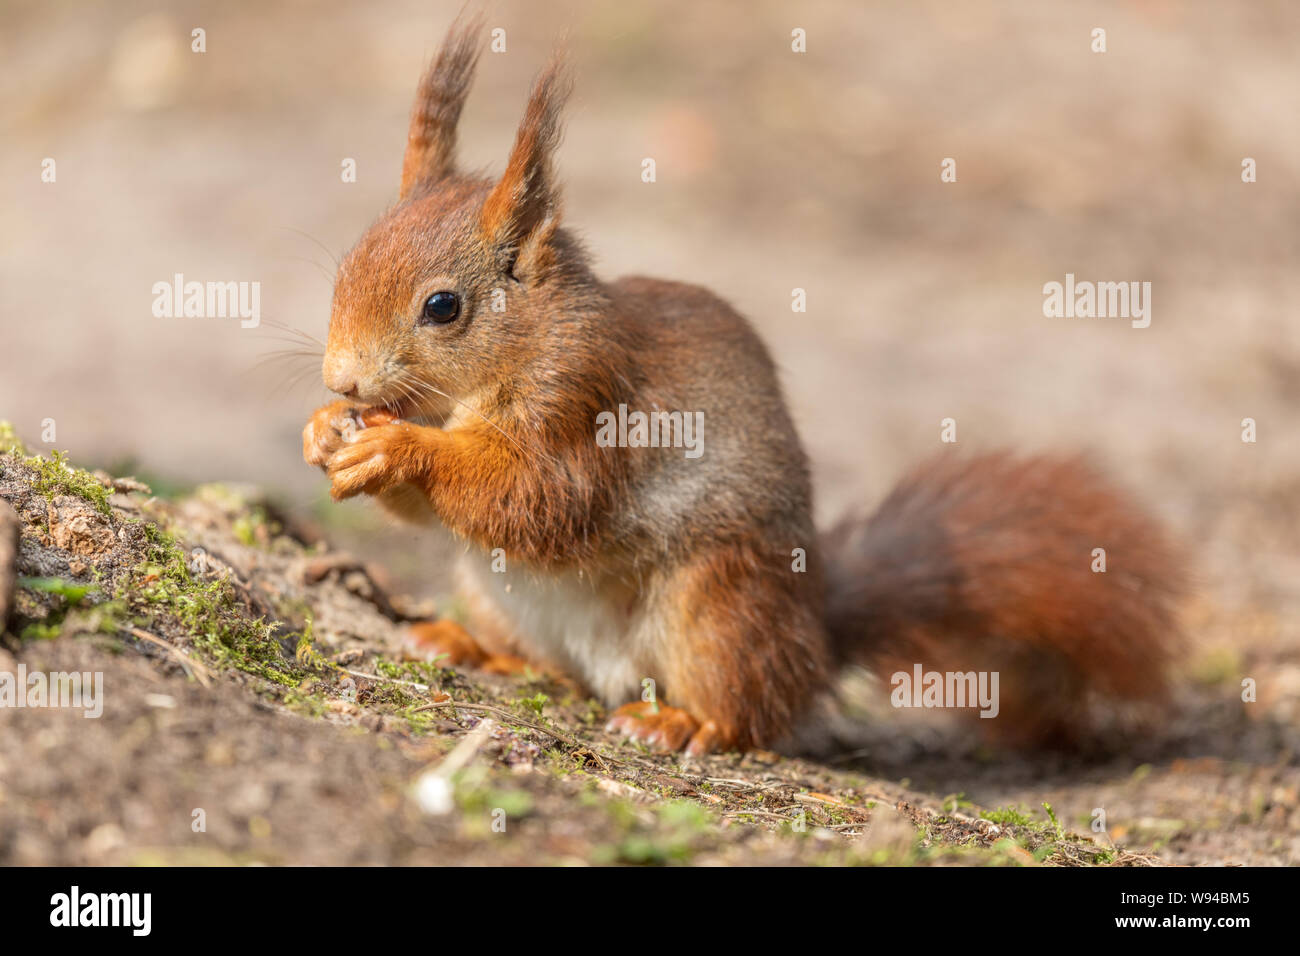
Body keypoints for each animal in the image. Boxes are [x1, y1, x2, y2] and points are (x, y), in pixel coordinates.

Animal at [302, 14, 1186, 755]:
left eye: (442, 307)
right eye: (346, 265)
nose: (341, 377)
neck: (512, 354)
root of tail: (816, 637)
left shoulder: (586, 399)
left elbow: (538, 498)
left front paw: (398, 447)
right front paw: (325, 430)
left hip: (719, 608)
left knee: (753, 710)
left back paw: (682, 722)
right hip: (494, 590)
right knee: (553, 667)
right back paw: (471, 646)